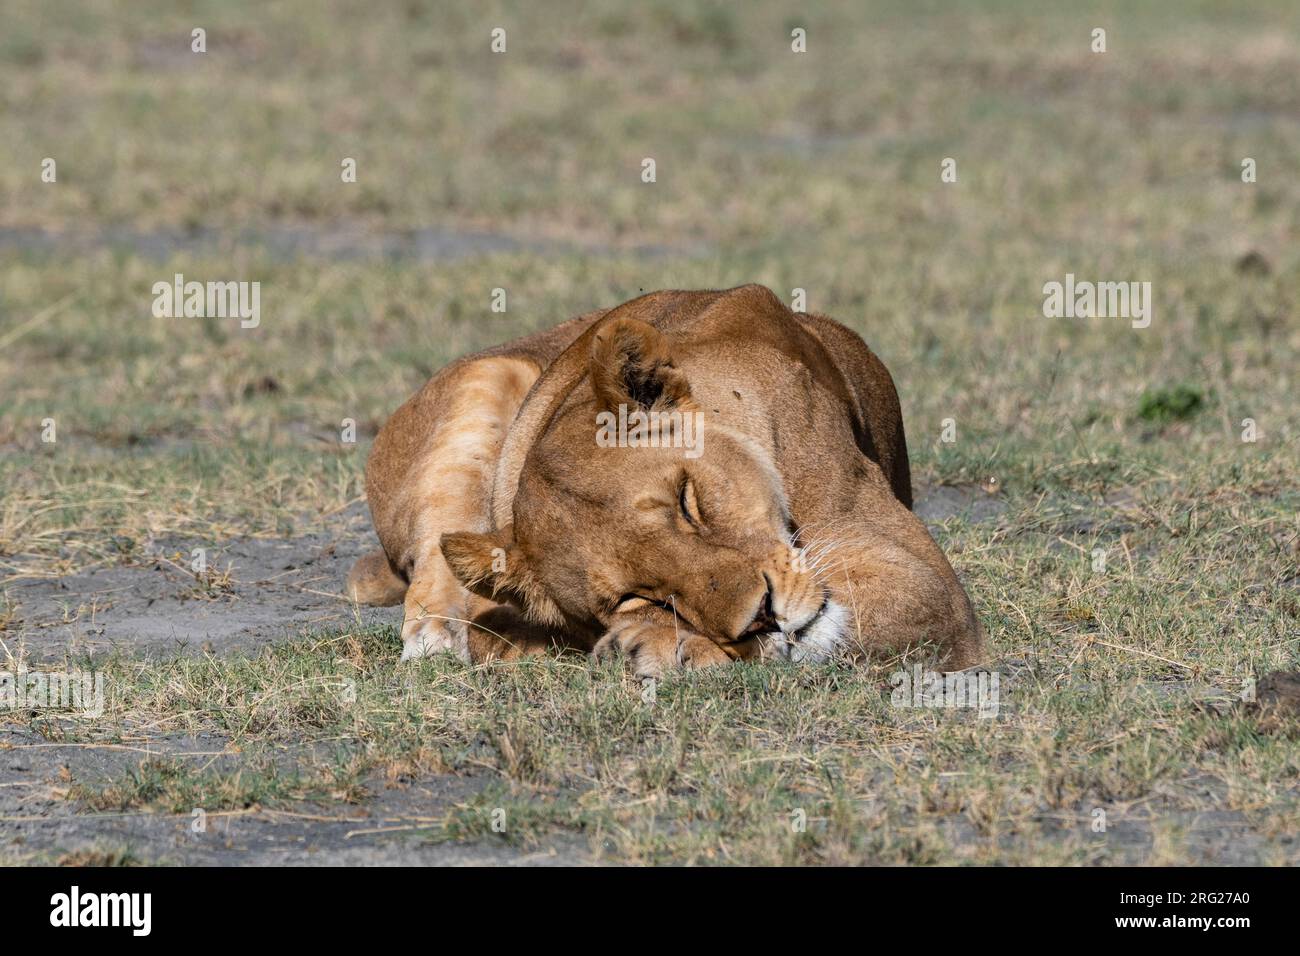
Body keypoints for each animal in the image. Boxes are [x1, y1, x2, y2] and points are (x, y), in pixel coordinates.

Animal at [348, 284, 984, 676]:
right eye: (639, 593)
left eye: (688, 502)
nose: (763, 615)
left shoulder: (923, 581)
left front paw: (652, 646)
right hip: (485, 381)